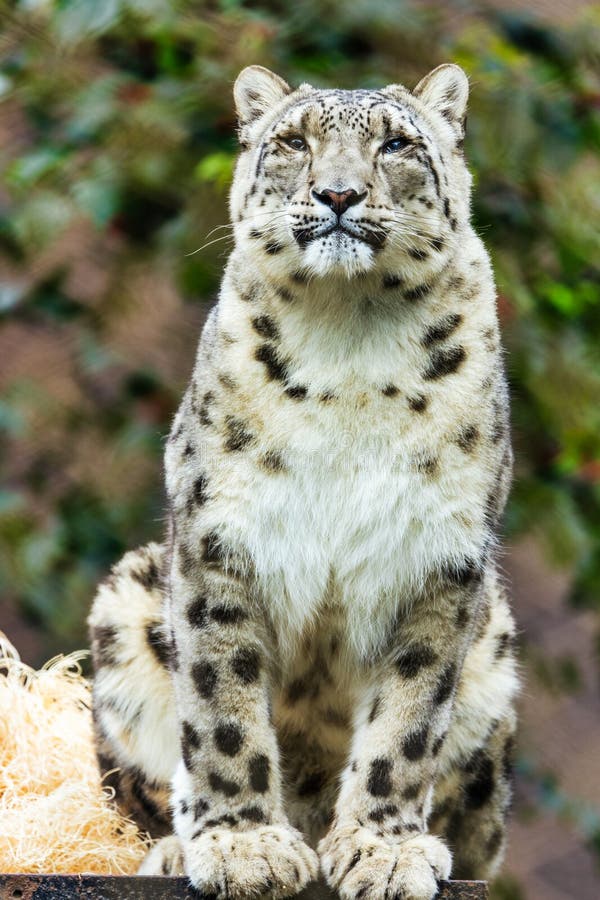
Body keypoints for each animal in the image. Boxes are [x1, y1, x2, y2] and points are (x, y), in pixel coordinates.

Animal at [88, 64, 519, 900]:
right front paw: (244, 847)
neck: (350, 339)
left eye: (396, 143)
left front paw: (383, 850)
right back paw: (176, 850)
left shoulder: (441, 564)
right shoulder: (220, 541)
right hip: (126, 606)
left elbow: (407, 720)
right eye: (293, 140)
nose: (339, 194)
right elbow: (222, 707)